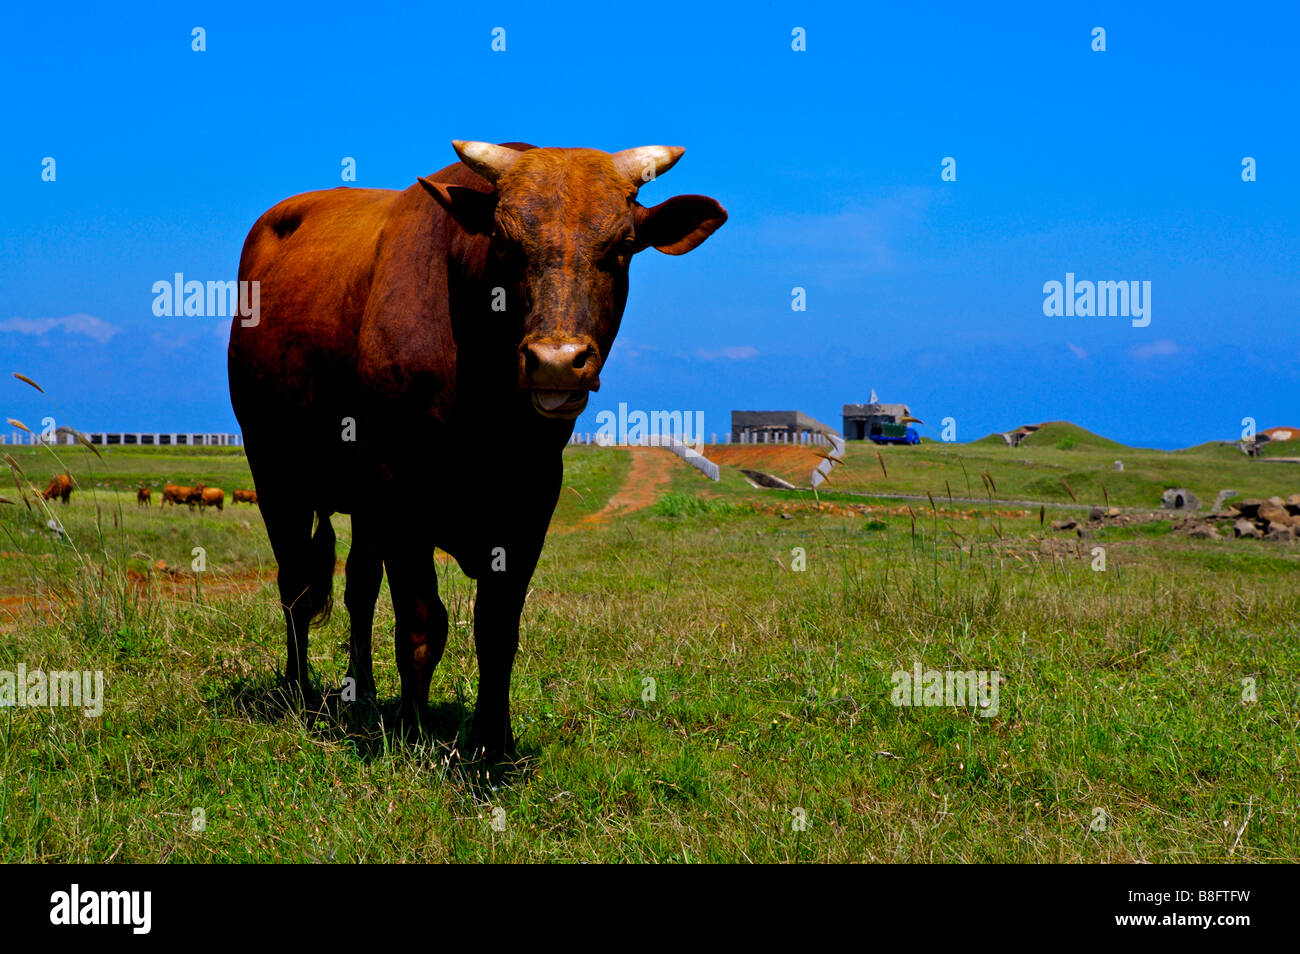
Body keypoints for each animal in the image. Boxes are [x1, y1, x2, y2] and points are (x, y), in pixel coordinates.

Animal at [228, 140, 725, 760]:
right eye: (506, 242)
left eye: (622, 245)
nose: (556, 362)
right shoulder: (400, 488)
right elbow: (422, 621)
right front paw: (412, 730)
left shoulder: (531, 497)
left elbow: (496, 626)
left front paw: (493, 739)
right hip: (275, 471)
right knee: (296, 585)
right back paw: (298, 689)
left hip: (360, 505)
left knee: (358, 588)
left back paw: (361, 691)